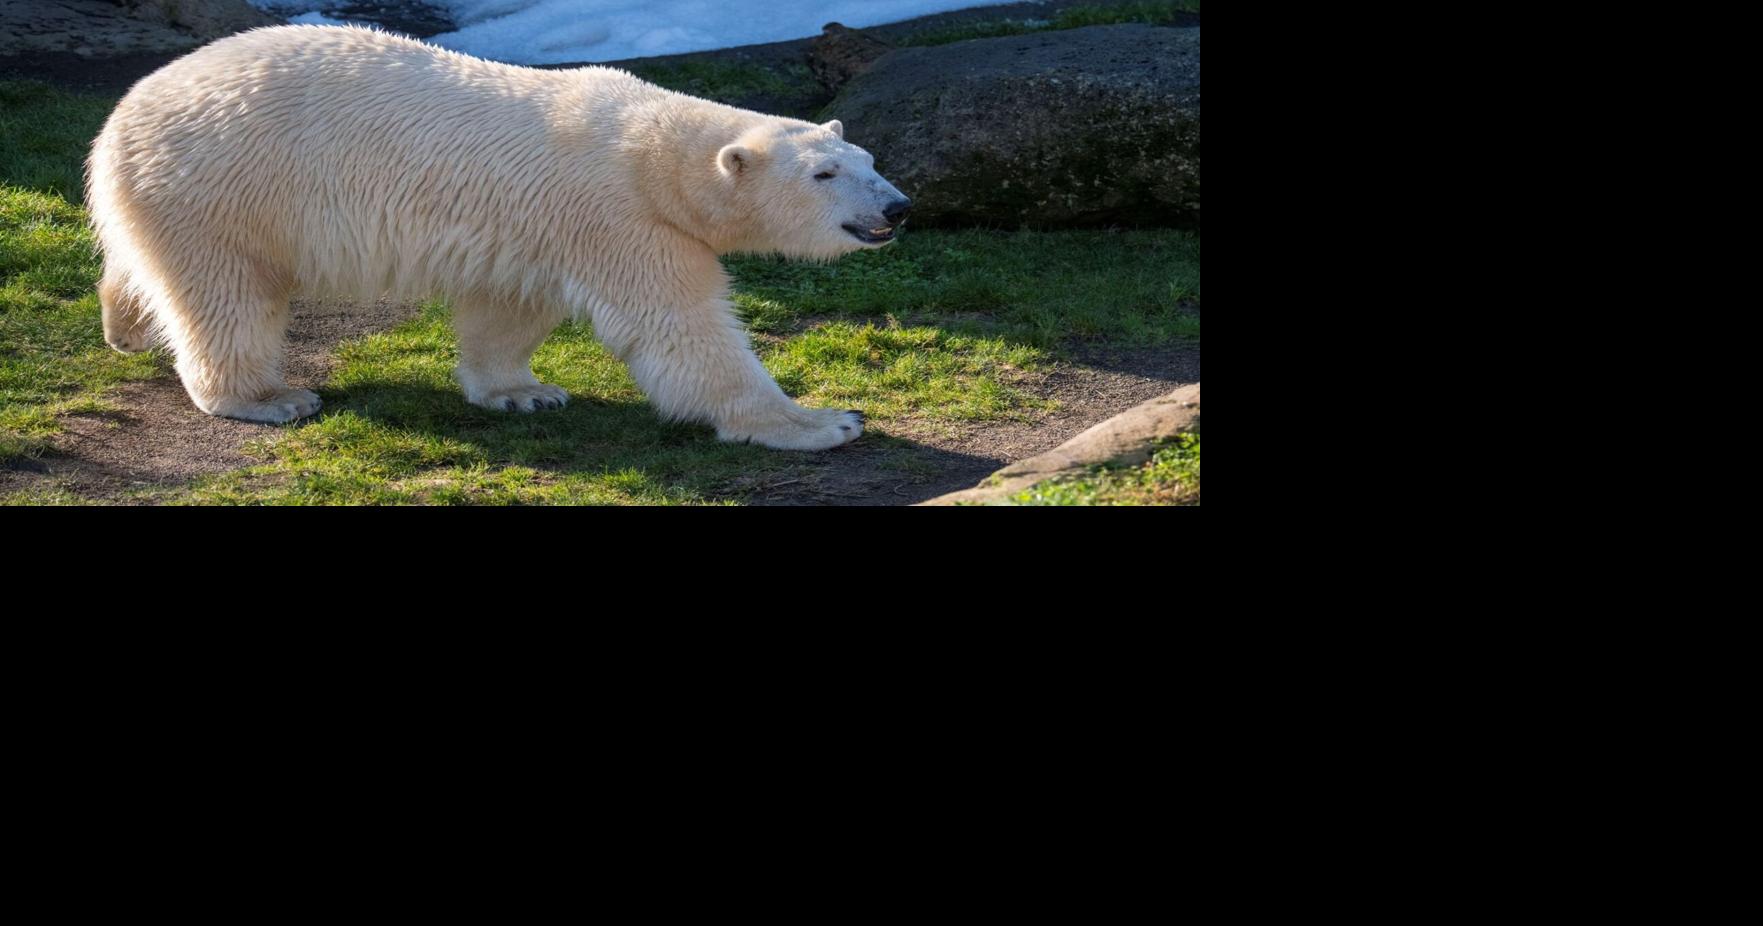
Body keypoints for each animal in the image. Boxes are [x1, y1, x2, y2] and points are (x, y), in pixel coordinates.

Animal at [88, 24, 912, 450]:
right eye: (826, 173)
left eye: (870, 160)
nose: (899, 208)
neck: (651, 154)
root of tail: (121, 116)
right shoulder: (620, 219)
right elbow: (683, 332)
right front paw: (822, 421)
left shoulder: (539, 230)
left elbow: (508, 310)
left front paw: (523, 392)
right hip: (221, 185)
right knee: (227, 293)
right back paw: (266, 397)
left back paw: (125, 323)